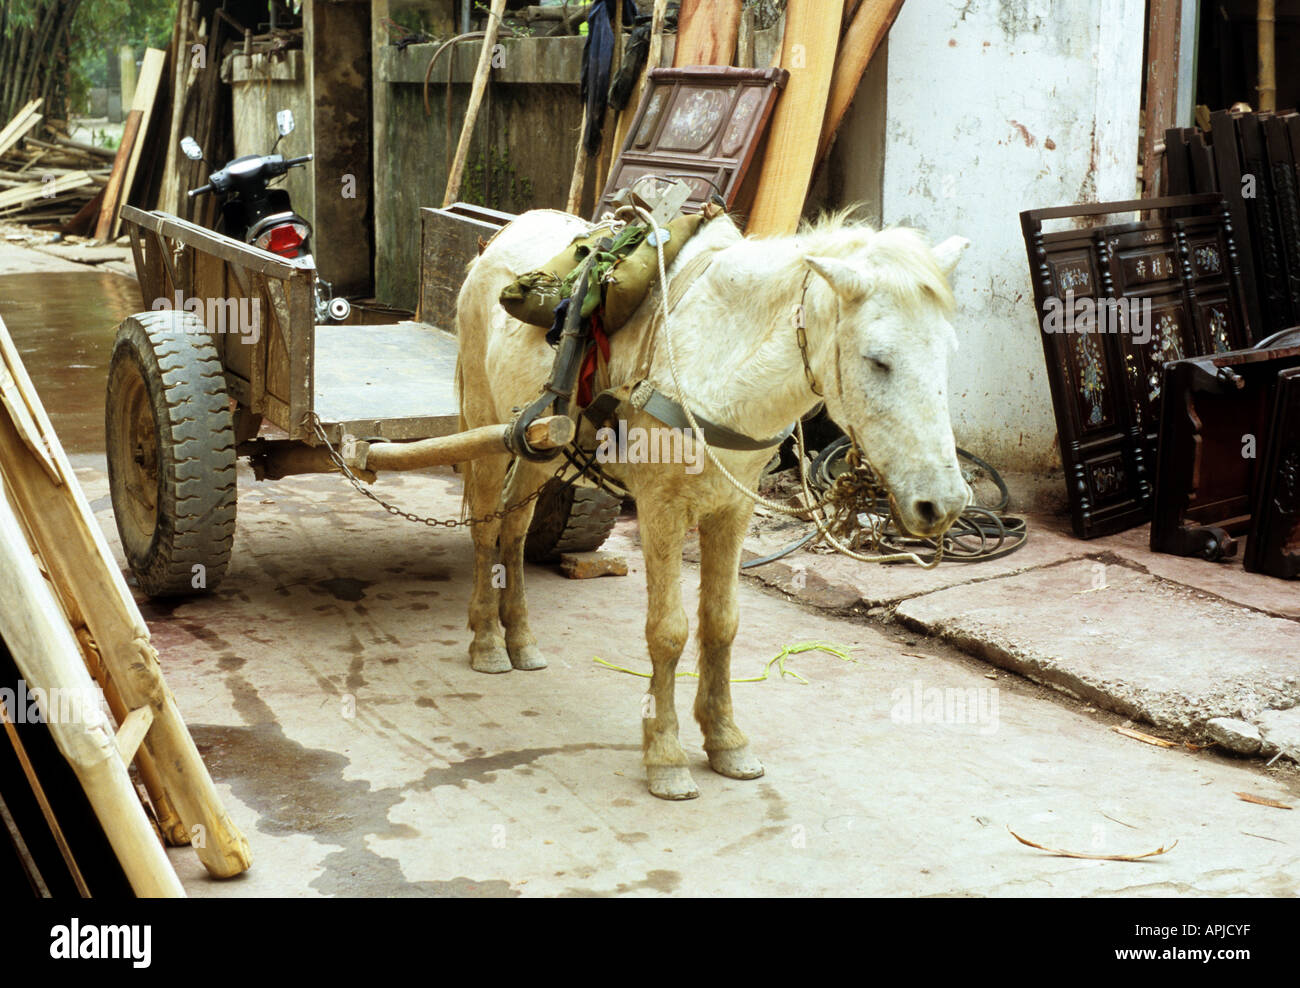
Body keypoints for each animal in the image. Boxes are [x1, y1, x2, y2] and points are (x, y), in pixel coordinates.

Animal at [454, 207, 971, 799]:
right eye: (877, 360)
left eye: (948, 354)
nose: (945, 503)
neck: (722, 363)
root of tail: (502, 235)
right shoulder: (661, 509)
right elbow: (668, 630)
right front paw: (665, 754)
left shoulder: (732, 510)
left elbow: (722, 623)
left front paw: (725, 739)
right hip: (485, 426)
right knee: (485, 529)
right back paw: (488, 642)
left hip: (539, 443)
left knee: (514, 526)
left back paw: (520, 639)